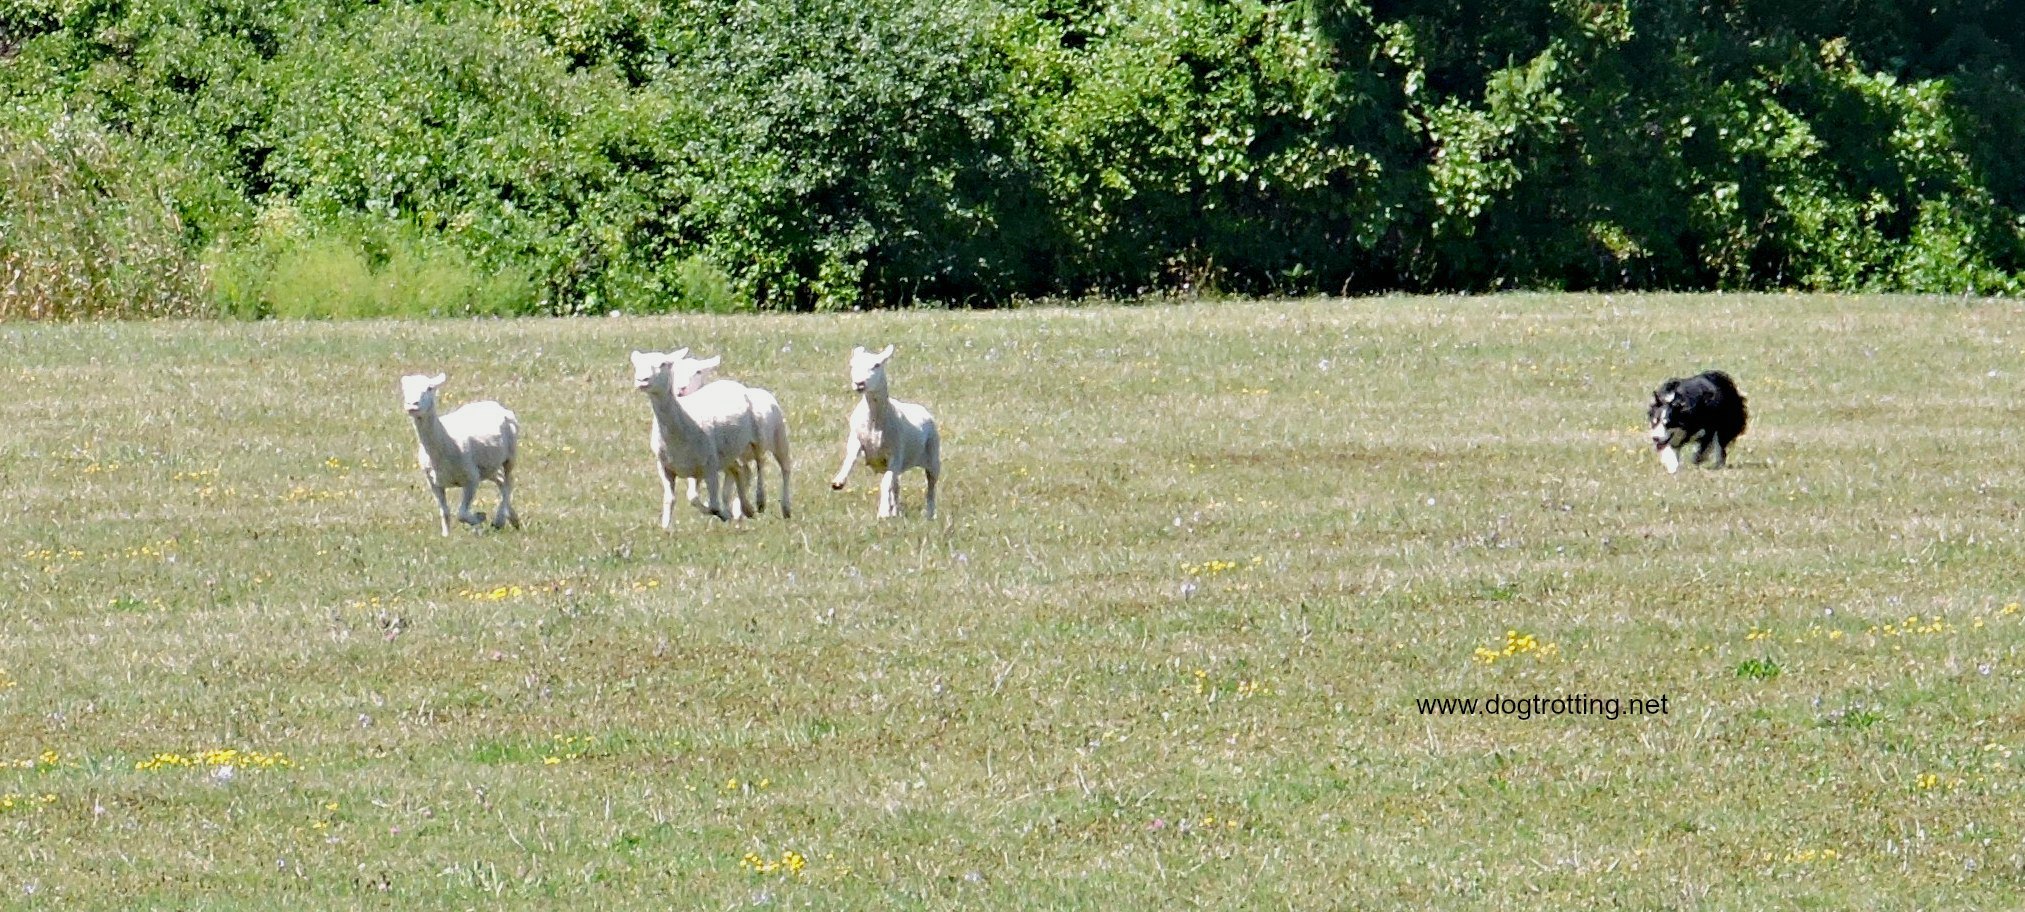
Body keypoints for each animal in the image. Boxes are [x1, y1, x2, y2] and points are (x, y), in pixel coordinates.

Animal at [399, 373, 521, 536]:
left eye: (430, 388)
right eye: (404, 388)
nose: (412, 404)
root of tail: (495, 404)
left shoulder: (472, 479)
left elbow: (461, 513)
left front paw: (479, 517)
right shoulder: (434, 483)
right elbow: (444, 511)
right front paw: (446, 535)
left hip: (510, 456)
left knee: (508, 482)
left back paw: (500, 519)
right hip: (487, 467)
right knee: (501, 480)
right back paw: (512, 518)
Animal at [630, 349, 758, 525]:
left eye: (664, 364)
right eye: (637, 364)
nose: (642, 380)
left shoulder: (708, 466)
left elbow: (710, 503)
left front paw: (723, 514)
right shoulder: (665, 467)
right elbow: (672, 499)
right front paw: (666, 527)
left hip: (739, 451)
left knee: (743, 474)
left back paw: (741, 510)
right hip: (729, 455)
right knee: (739, 473)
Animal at [830, 344, 940, 518]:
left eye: (877, 365)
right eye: (852, 365)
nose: (859, 383)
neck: (875, 420)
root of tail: (923, 410)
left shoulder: (895, 454)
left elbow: (885, 483)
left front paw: (882, 513)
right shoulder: (856, 439)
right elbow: (850, 459)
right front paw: (838, 481)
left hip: (933, 456)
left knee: (931, 487)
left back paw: (929, 515)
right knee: (896, 486)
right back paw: (895, 511)